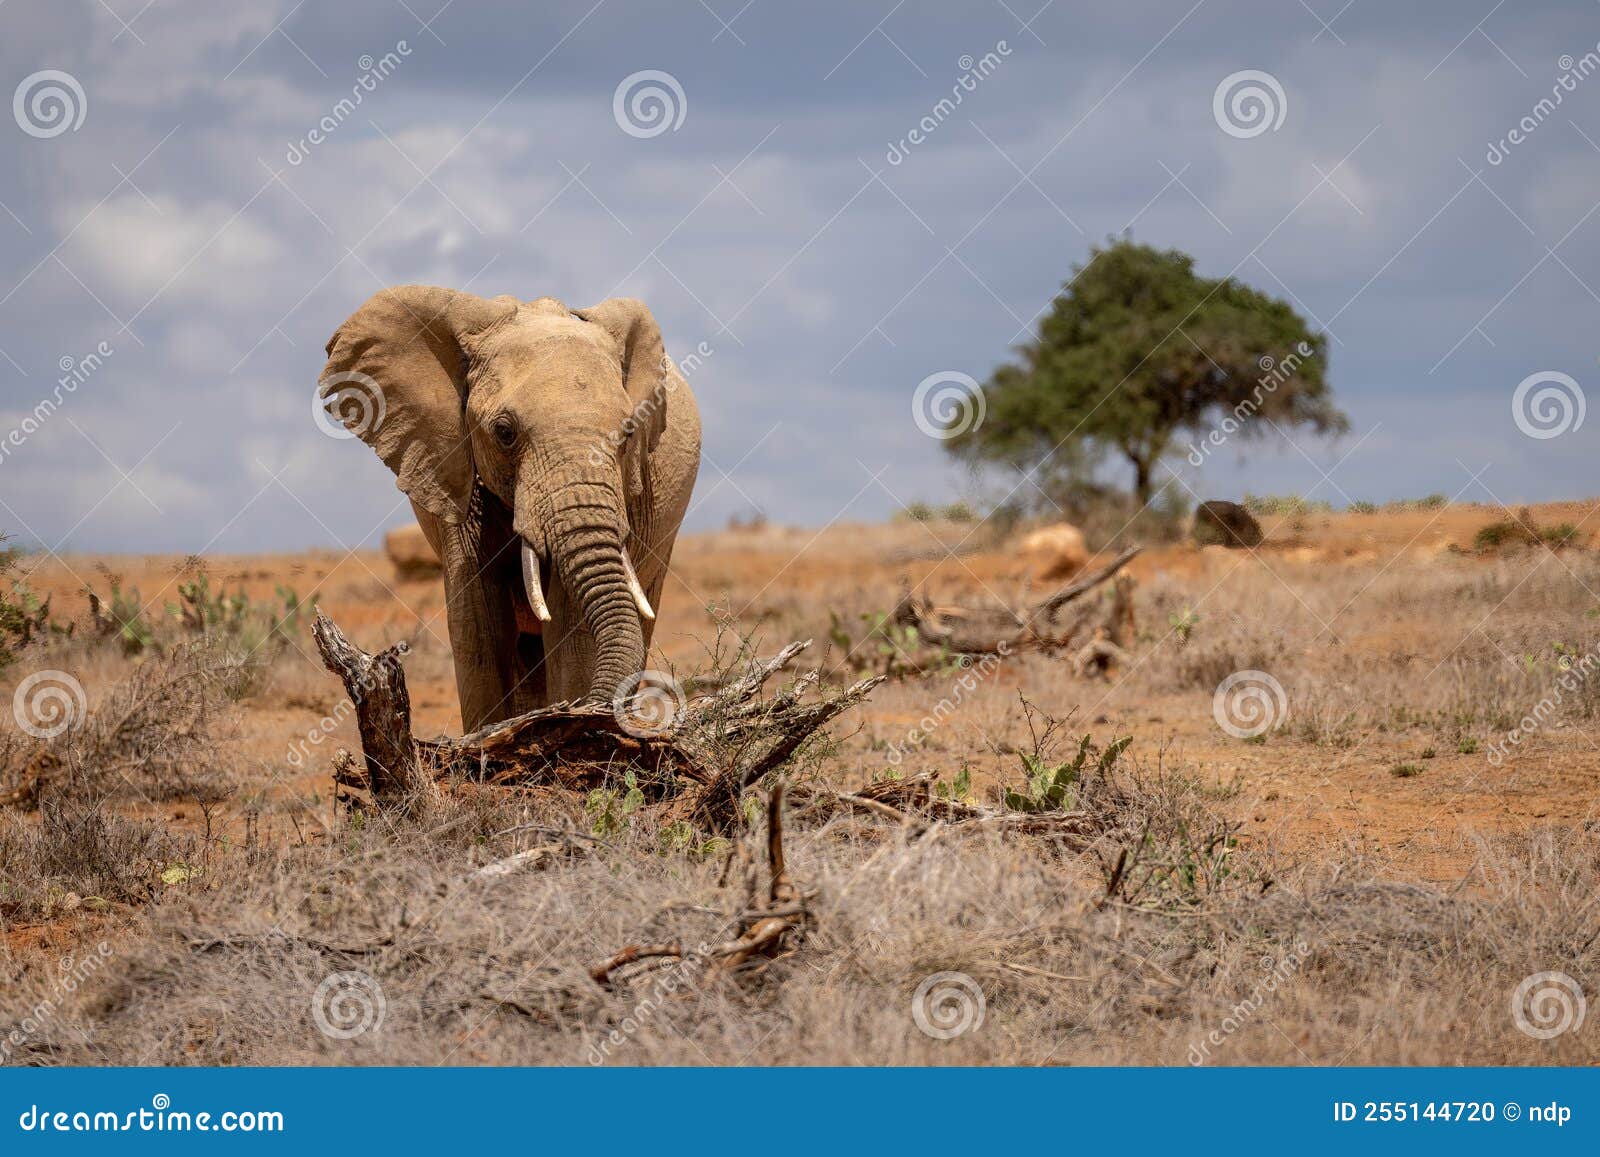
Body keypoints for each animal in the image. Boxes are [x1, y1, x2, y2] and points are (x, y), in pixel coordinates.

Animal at [319, 286, 701, 732]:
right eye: (504, 433)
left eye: (628, 434)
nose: (589, 709)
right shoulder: (456, 470)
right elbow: (479, 622)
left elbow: (570, 625)